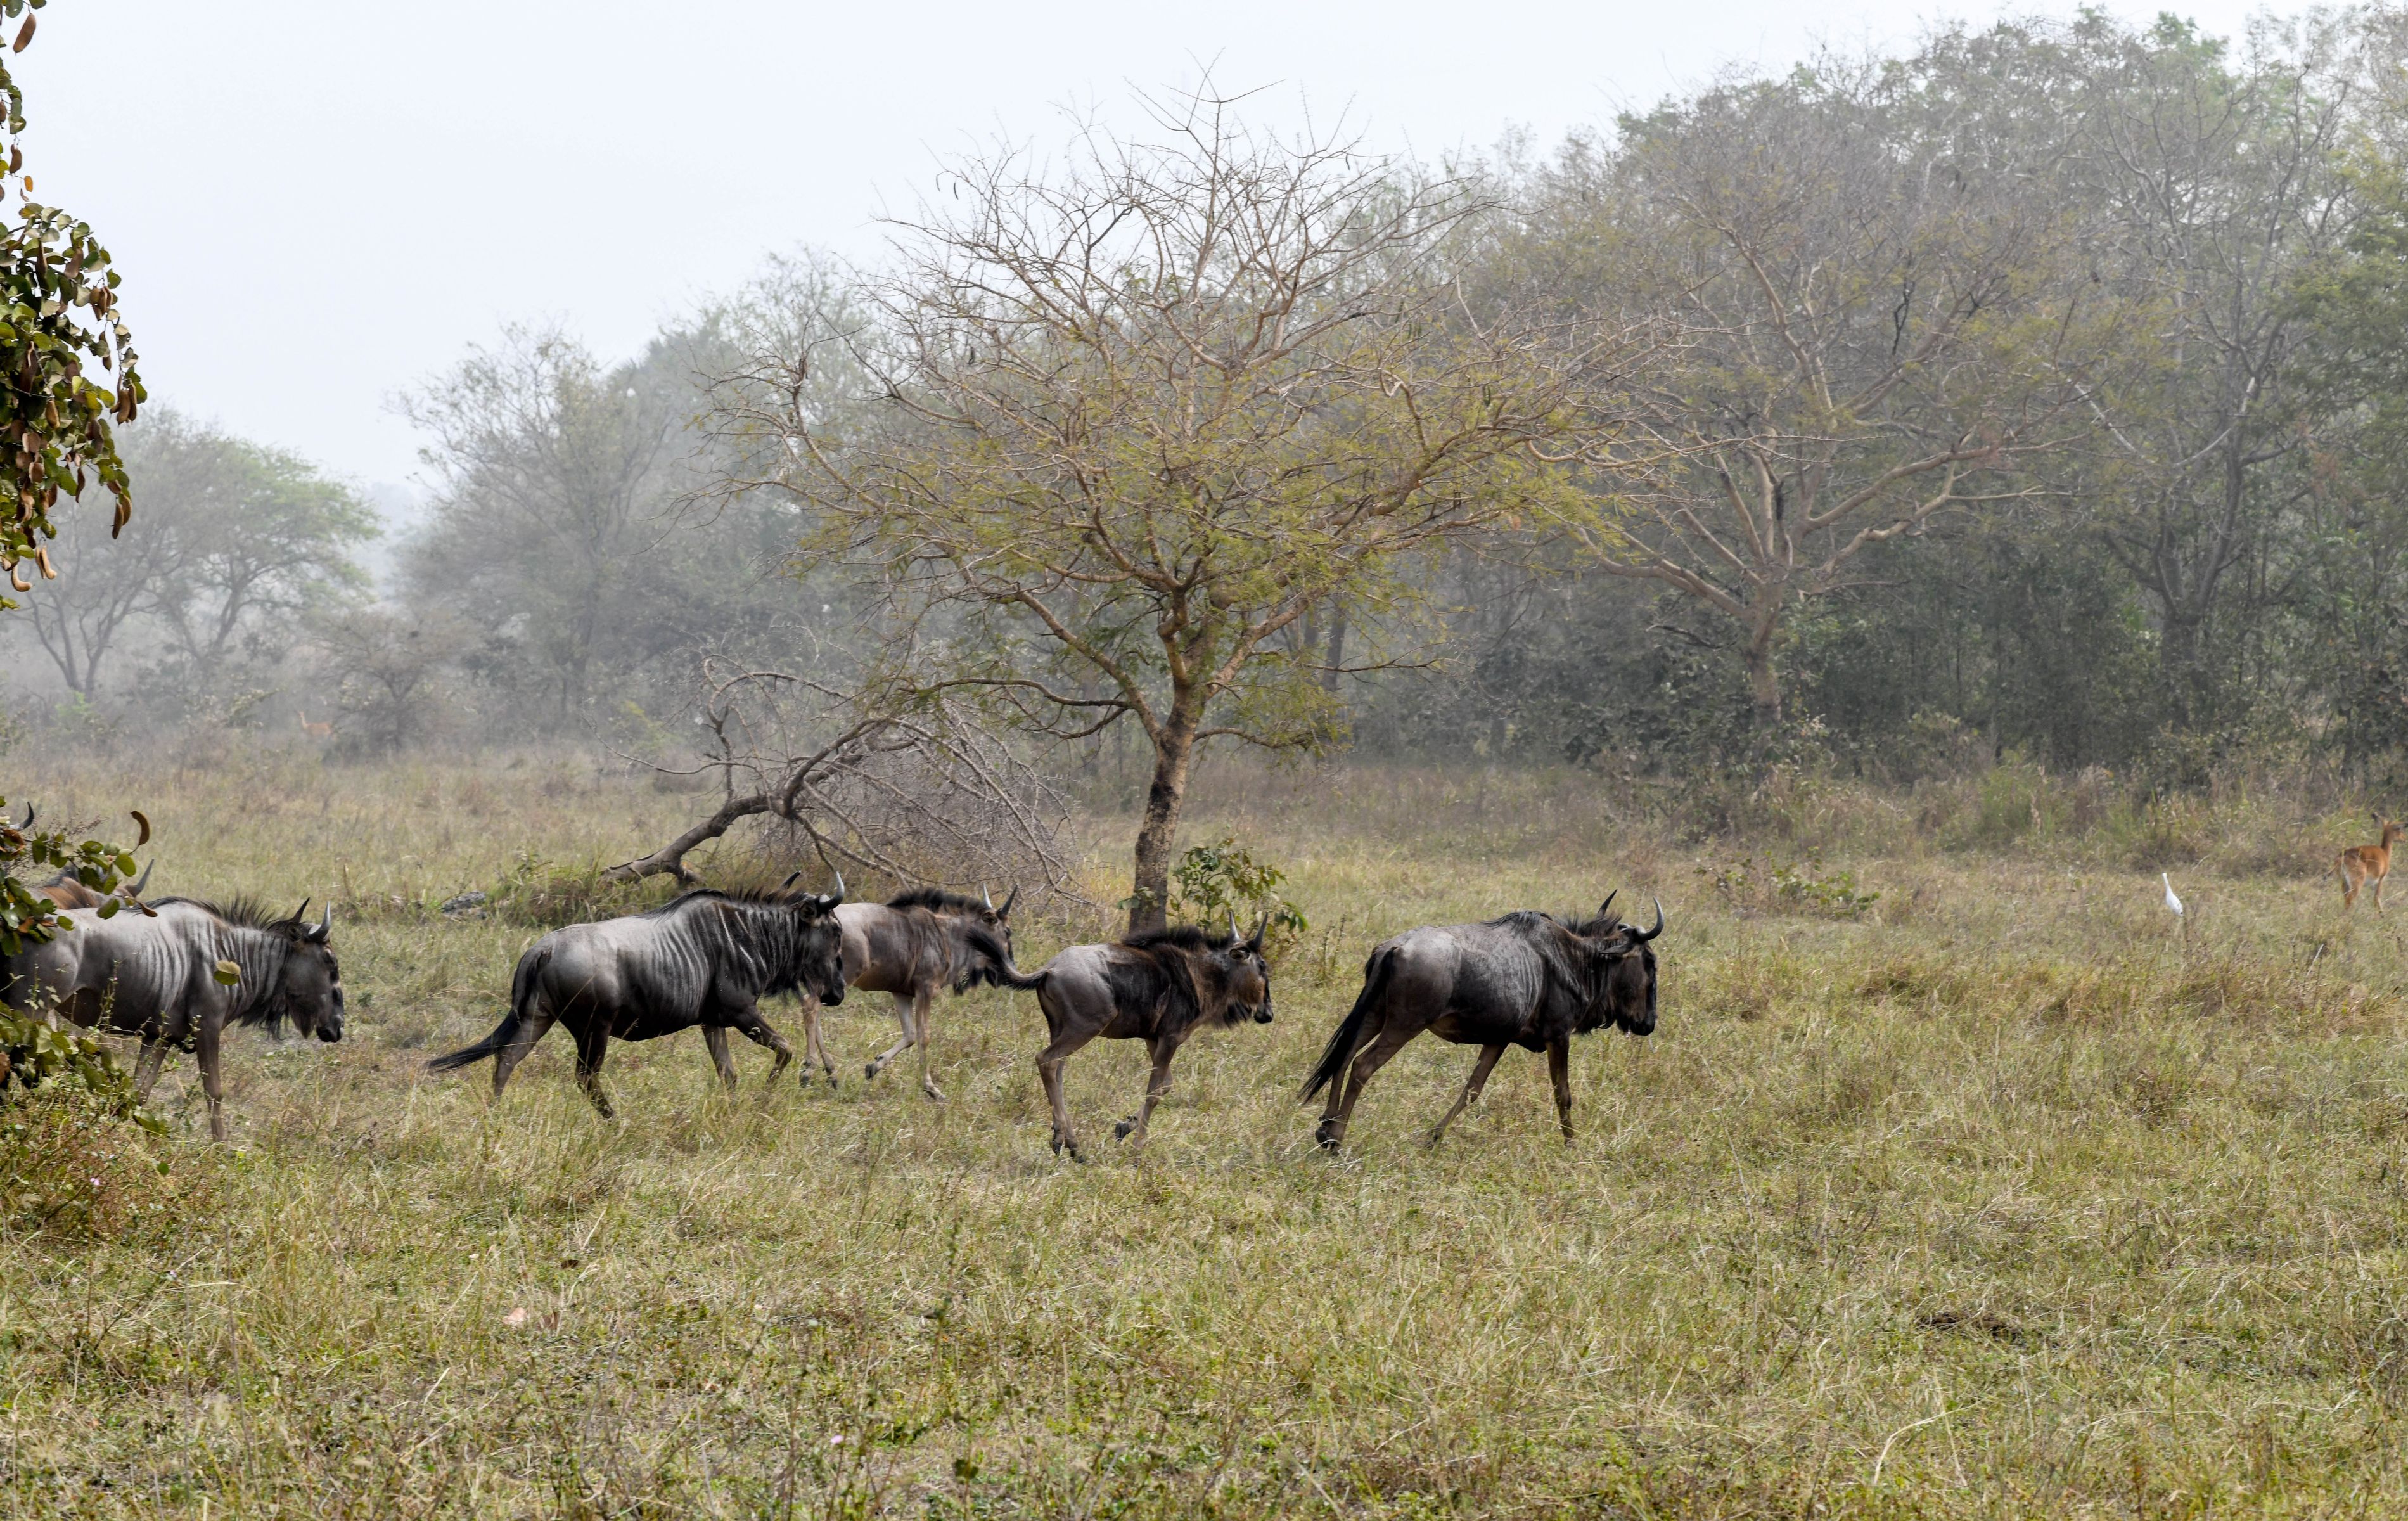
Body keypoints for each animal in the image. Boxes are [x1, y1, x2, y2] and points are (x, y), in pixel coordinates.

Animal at [2340, 816, 2403, 910]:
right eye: (2399, 829)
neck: (2385, 853)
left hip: (2344, 882)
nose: (2405, 839)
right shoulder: (2380, 880)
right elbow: (2377, 899)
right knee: (2349, 899)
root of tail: (2345, 855)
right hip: (2356, 885)